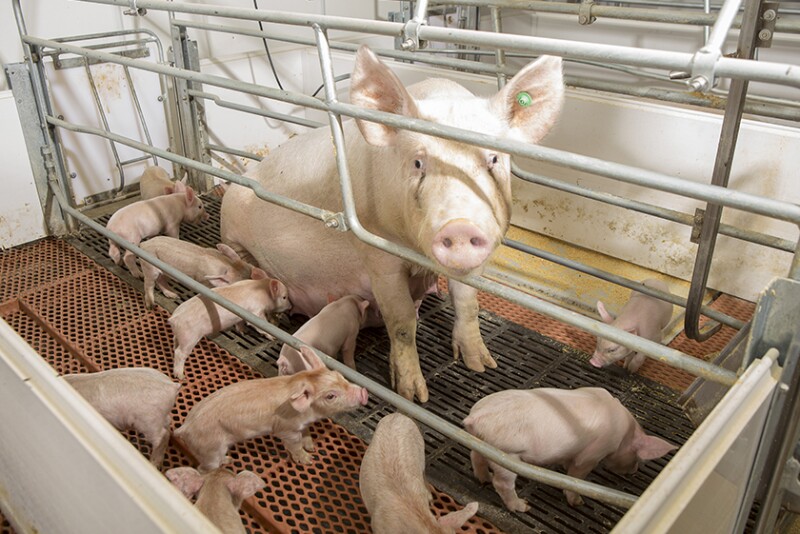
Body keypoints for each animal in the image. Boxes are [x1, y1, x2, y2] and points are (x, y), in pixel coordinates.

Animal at [174, 346, 369, 471]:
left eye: (340, 376)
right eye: (330, 396)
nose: (364, 392)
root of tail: (184, 427)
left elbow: (306, 434)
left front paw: (312, 447)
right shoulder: (286, 429)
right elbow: (295, 445)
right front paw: (309, 460)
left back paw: (228, 460)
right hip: (210, 450)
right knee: (203, 468)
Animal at [220, 45, 565, 402]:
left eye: (493, 159)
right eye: (417, 162)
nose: (460, 226)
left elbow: (467, 303)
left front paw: (481, 365)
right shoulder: (377, 254)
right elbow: (400, 322)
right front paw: (412, 395)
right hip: (232, 229)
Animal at [464, 387, 676, 510]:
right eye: (638, 458)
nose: (634, 471)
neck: (625, 434)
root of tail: (475, 416)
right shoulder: (592, 454)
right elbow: (577, 475)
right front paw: (578, 502)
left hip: (481, 443)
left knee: (475, 457)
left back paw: (484, 479)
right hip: (507, 455)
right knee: (502, 483)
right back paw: (522, 506)